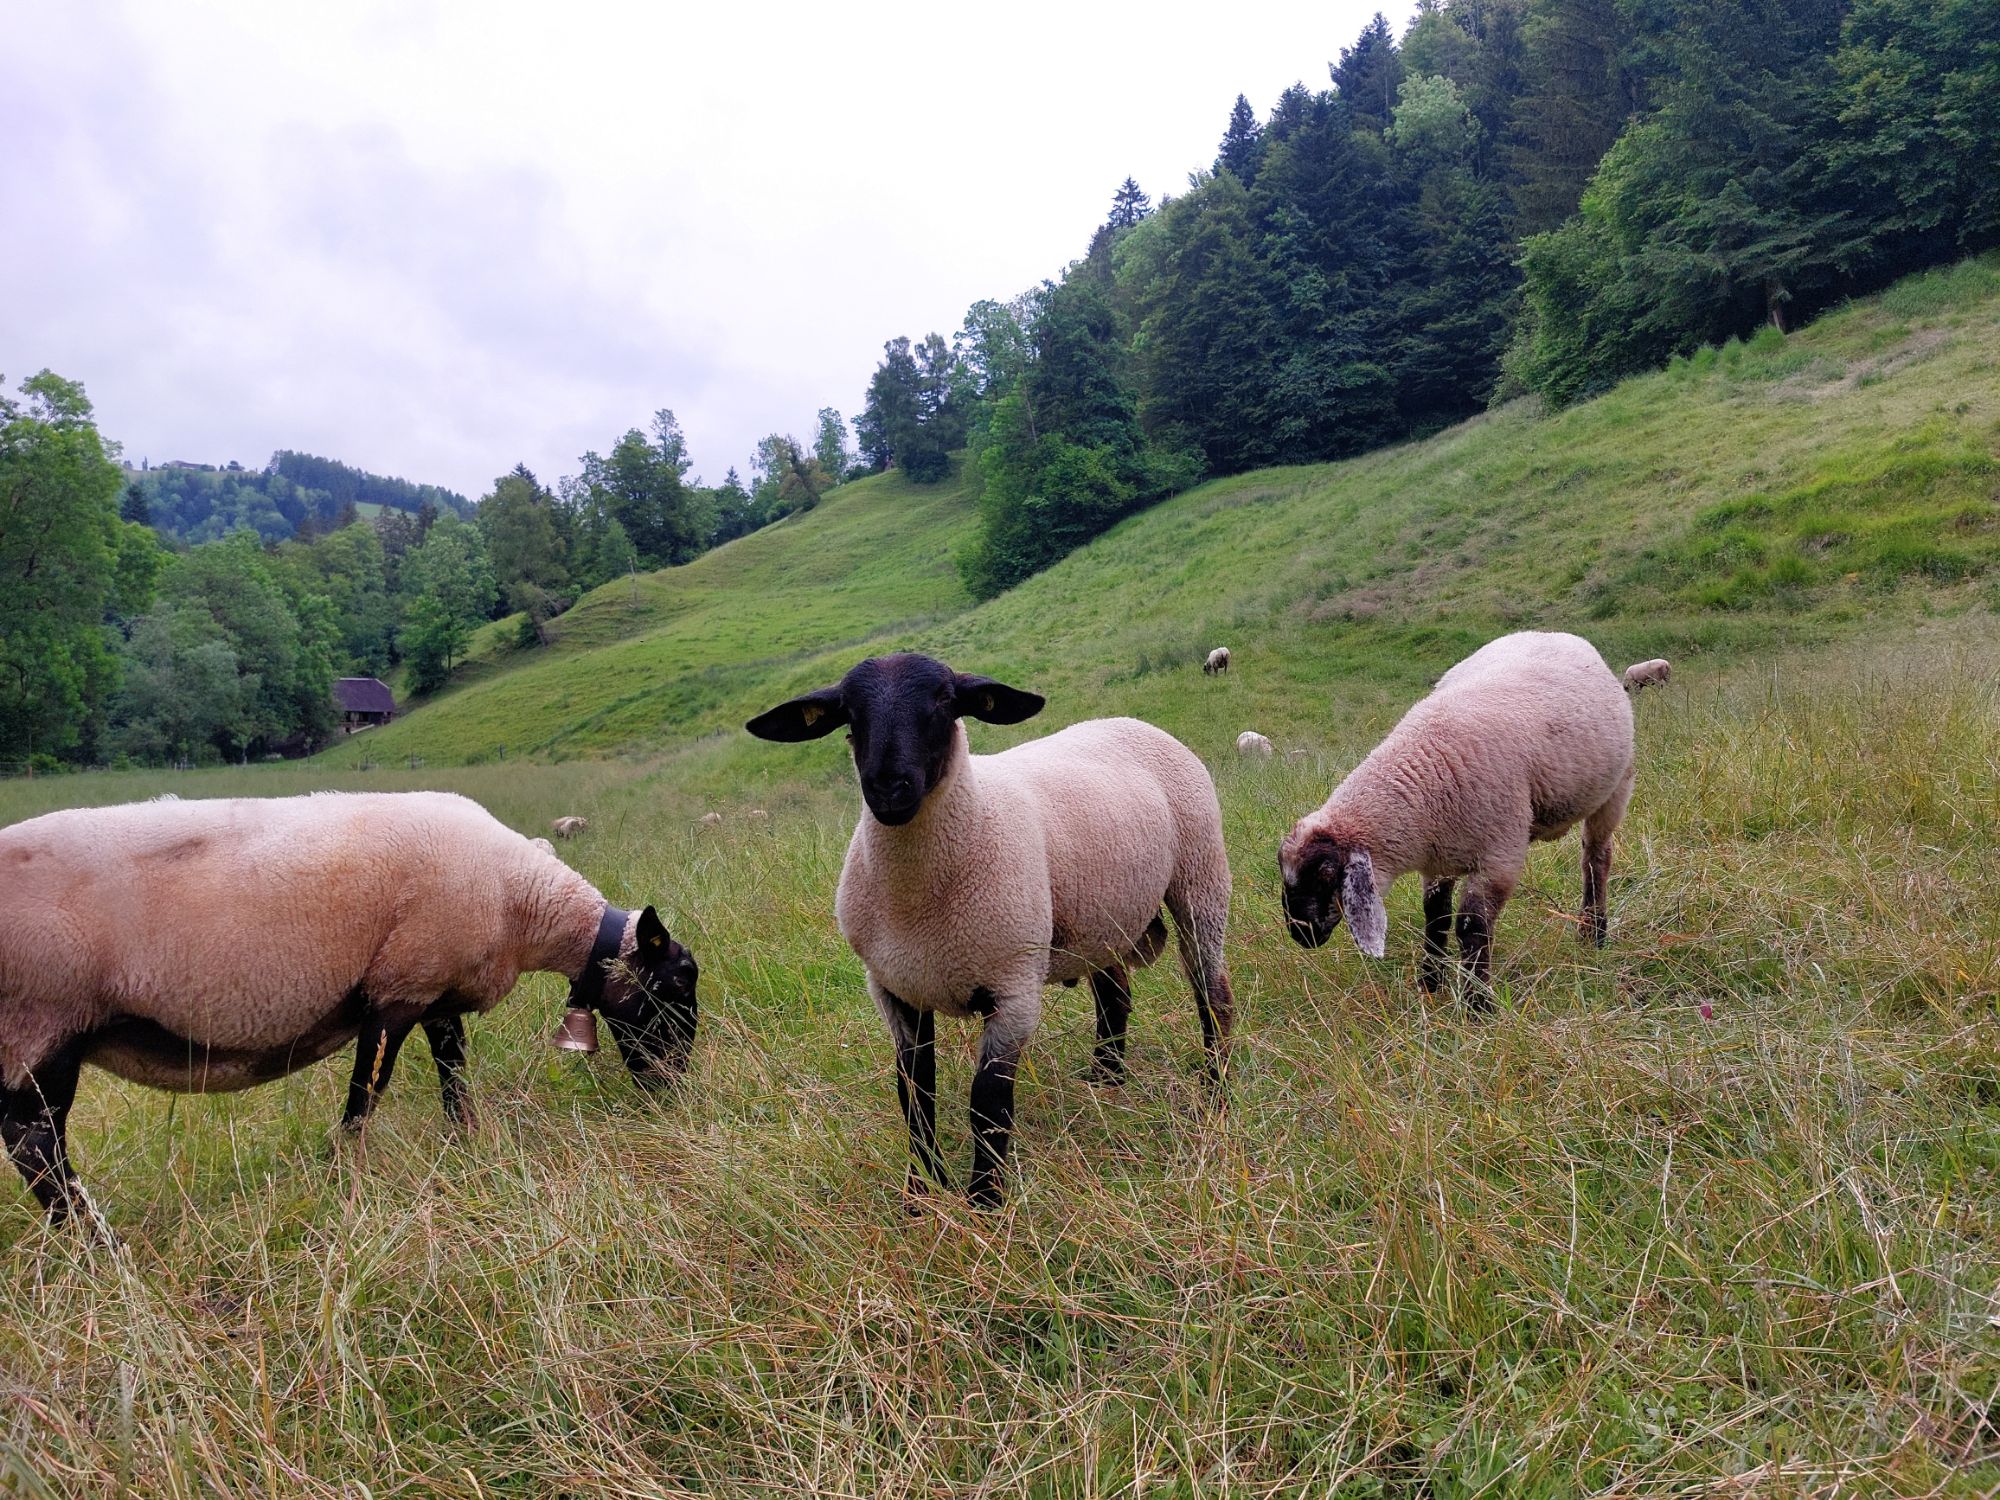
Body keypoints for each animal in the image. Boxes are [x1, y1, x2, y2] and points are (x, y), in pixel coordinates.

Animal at [0, 792, 698, 1231]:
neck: (522, 903)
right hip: (38, 1022)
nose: (674, 1089)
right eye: (679, 983)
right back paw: (99, 1245)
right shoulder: (398, 987)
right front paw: (346, 1172)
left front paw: (466, 1141)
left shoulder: (434, 988)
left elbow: (453, 1070)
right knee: (36, 1148)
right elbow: (369, 1090)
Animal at [747, 652, 1234, 1209]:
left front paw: (984, 1202)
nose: (888, 788)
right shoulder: (894, 990)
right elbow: (915, 1092)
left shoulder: (1014, 989)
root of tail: (1131, 721)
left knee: (1212, 994)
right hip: (1101, 917)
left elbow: (989, 1102)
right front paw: (920, 1196)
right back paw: (1105, 1083)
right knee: (1115, 998)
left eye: (944, 700)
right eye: (848, 712)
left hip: (1200, 876)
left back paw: (1216, 1094)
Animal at [1280, 632, 1655, 1002]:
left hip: (1616, 788)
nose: (1300, 935)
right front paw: (1431, 985)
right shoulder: (1437, 861)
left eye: (1327, 874)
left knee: (1595, 859)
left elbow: (1472, 927)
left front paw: (1478, 1002)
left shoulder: (1499, 858)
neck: (1426, 770)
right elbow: (1436, 917)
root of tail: (1551, 632)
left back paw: (1594, 934)